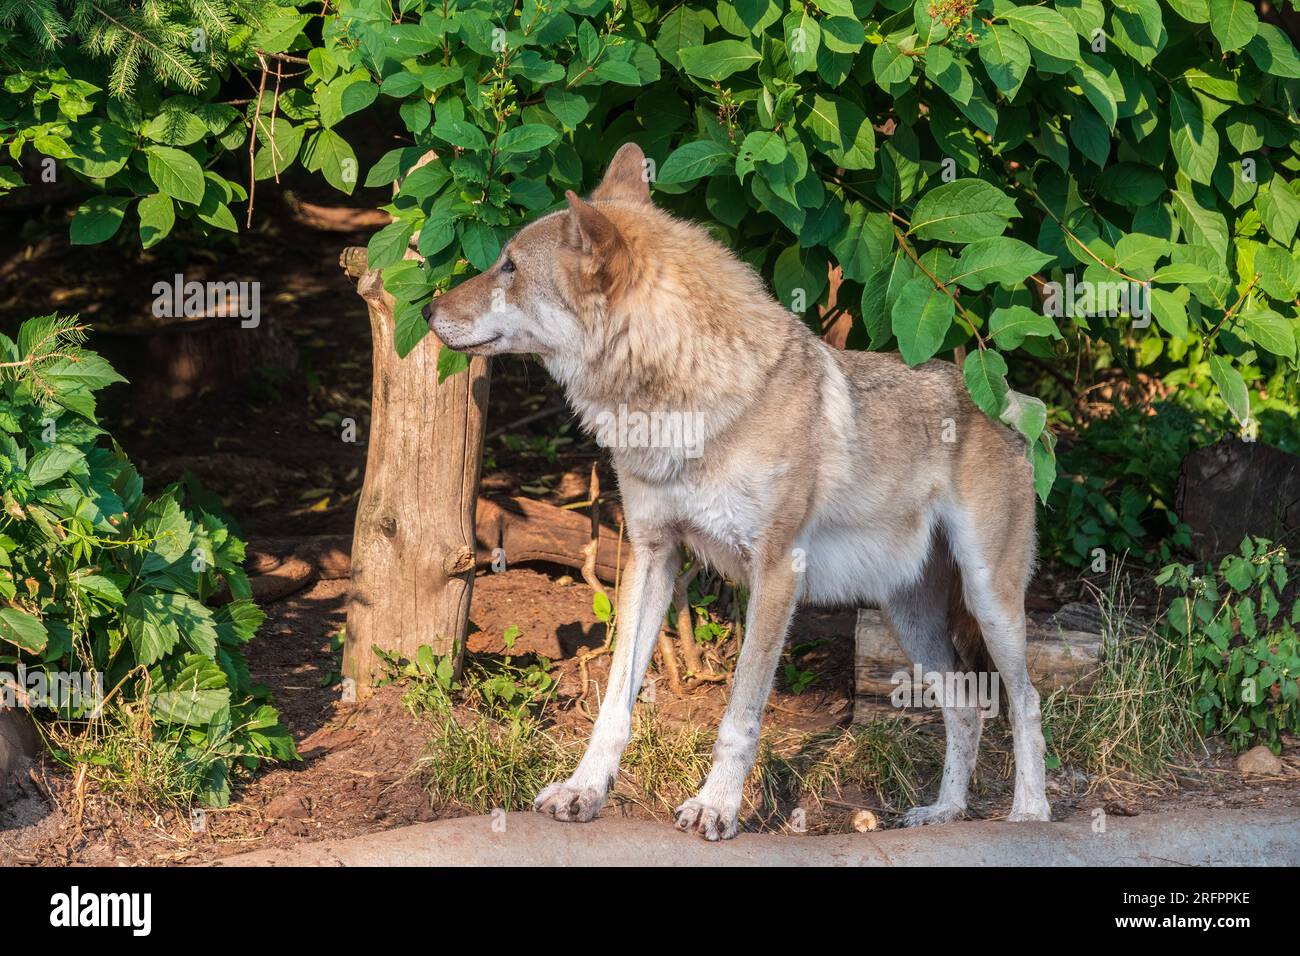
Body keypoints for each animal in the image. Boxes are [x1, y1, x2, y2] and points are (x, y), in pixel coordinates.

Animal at [425, 143, 1050, 840]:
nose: (425, 310)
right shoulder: (652, 555)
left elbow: (740, 714)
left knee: (1025, 701)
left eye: (508, 267)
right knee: (966, 705)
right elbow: (614, 700)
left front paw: (715, 807)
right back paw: (944, 813)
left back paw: (1030, 813)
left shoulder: (777, 572)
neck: (681, 401)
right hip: (907, 614)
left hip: (989, 601)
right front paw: (585, 791)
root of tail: (1007, 401)